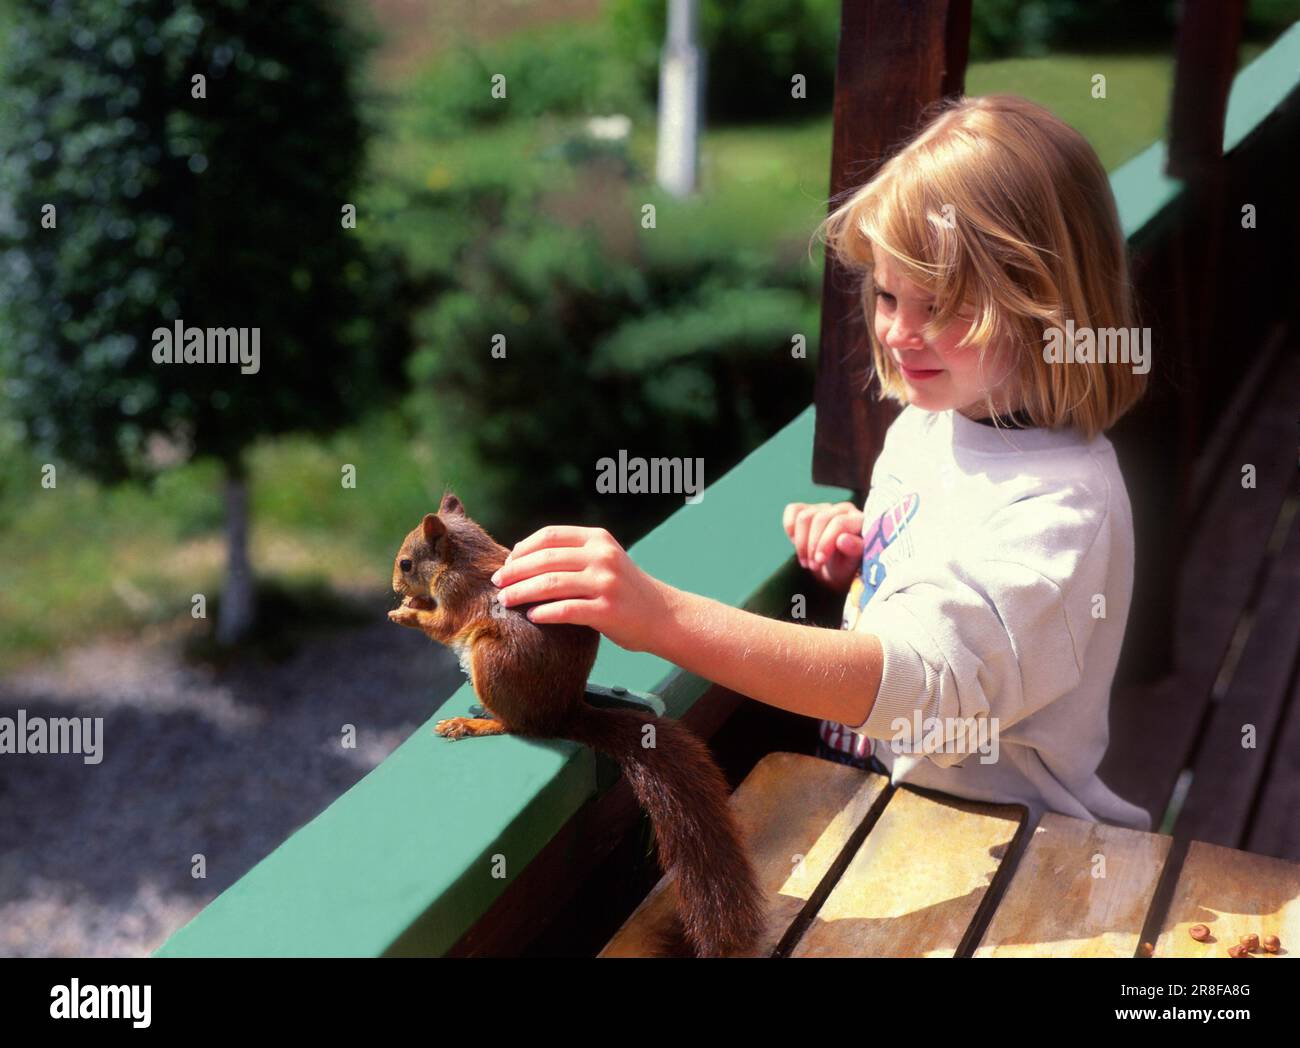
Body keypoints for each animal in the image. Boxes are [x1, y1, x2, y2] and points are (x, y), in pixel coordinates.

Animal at [387, 490, 766, 958]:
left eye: (406, 563)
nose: (395, 588)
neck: (461, 557)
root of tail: (563, 713)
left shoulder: (458, 594)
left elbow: (443, 625)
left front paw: (405, 614)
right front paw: (410, 604)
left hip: (494, 662)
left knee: (521, 727)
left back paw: (476, 723)